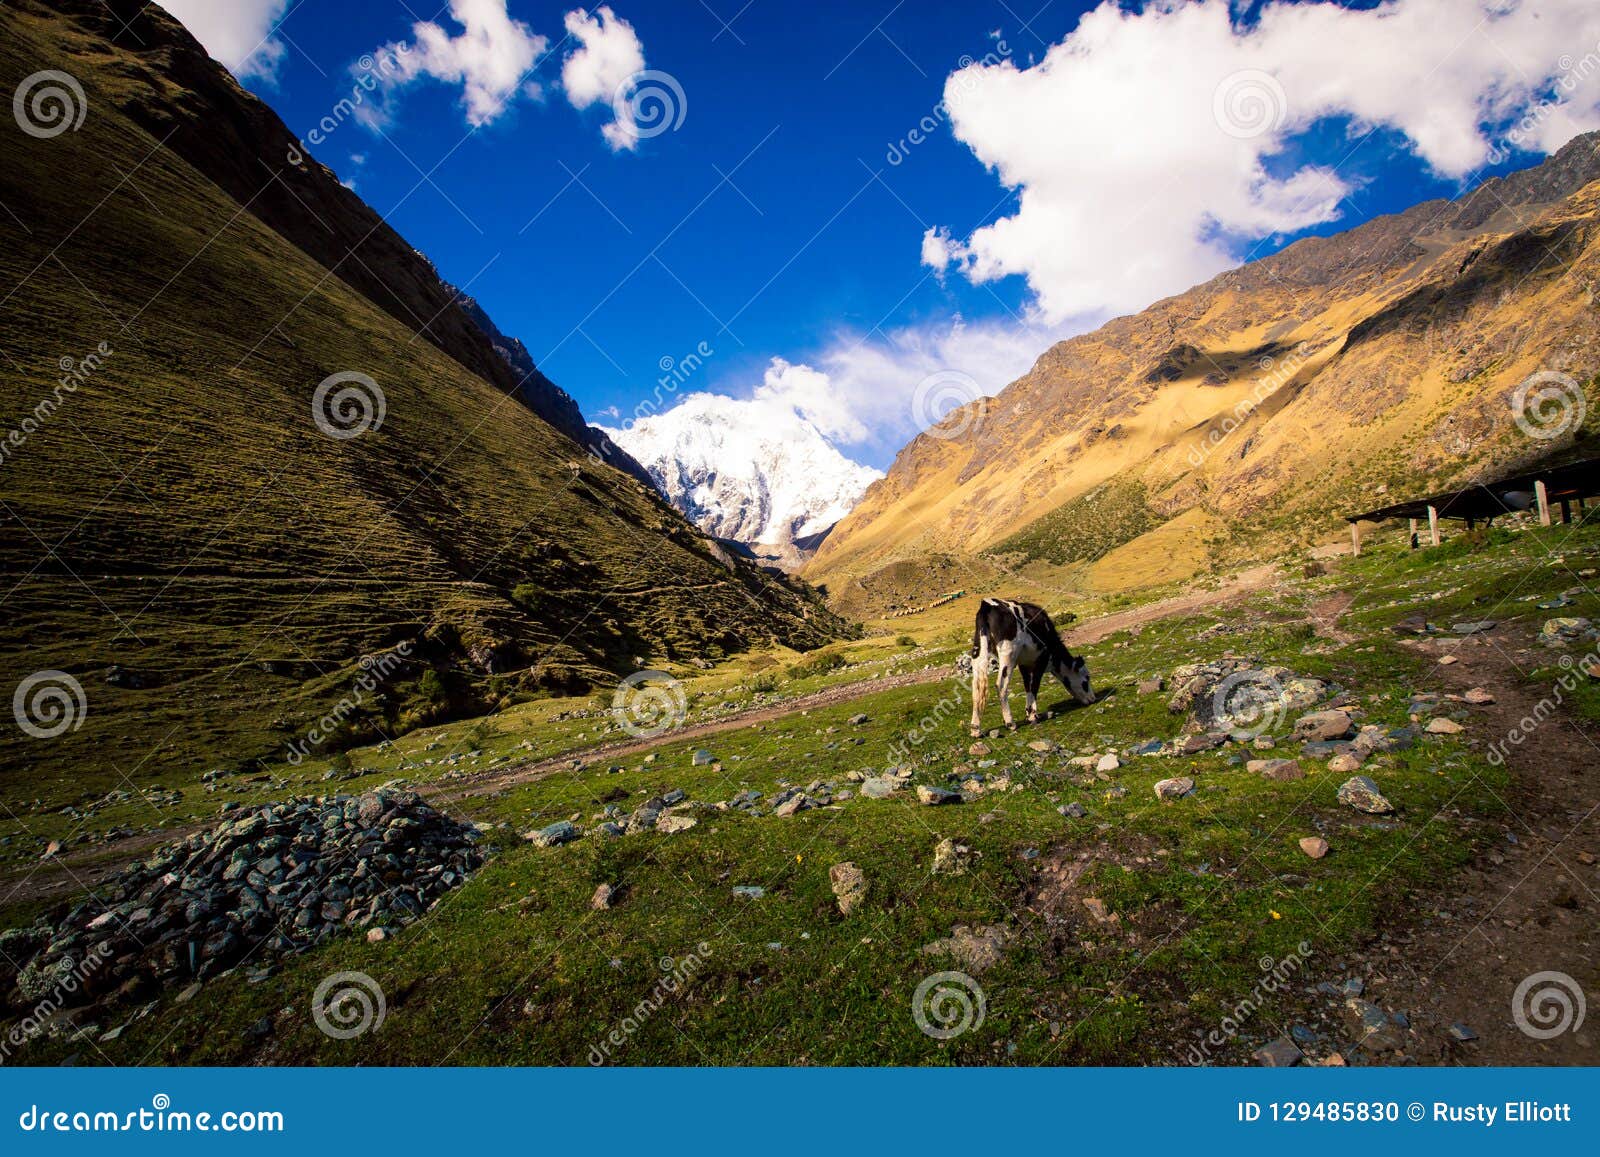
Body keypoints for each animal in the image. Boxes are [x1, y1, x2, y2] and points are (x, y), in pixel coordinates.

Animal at [969, 598, 1093, 735]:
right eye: (1087, 678)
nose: (1093, 699)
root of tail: (987, 604)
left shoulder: (1024, 663)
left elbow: (1027, 685)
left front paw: (1028, 712)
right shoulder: (1041, 659)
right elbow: (1034, 685)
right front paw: (1033, 715)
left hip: (978, 653)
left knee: (977, 688)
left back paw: (975, 729)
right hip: (1008, 654)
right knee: (1000, 685)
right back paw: (1010, 723)